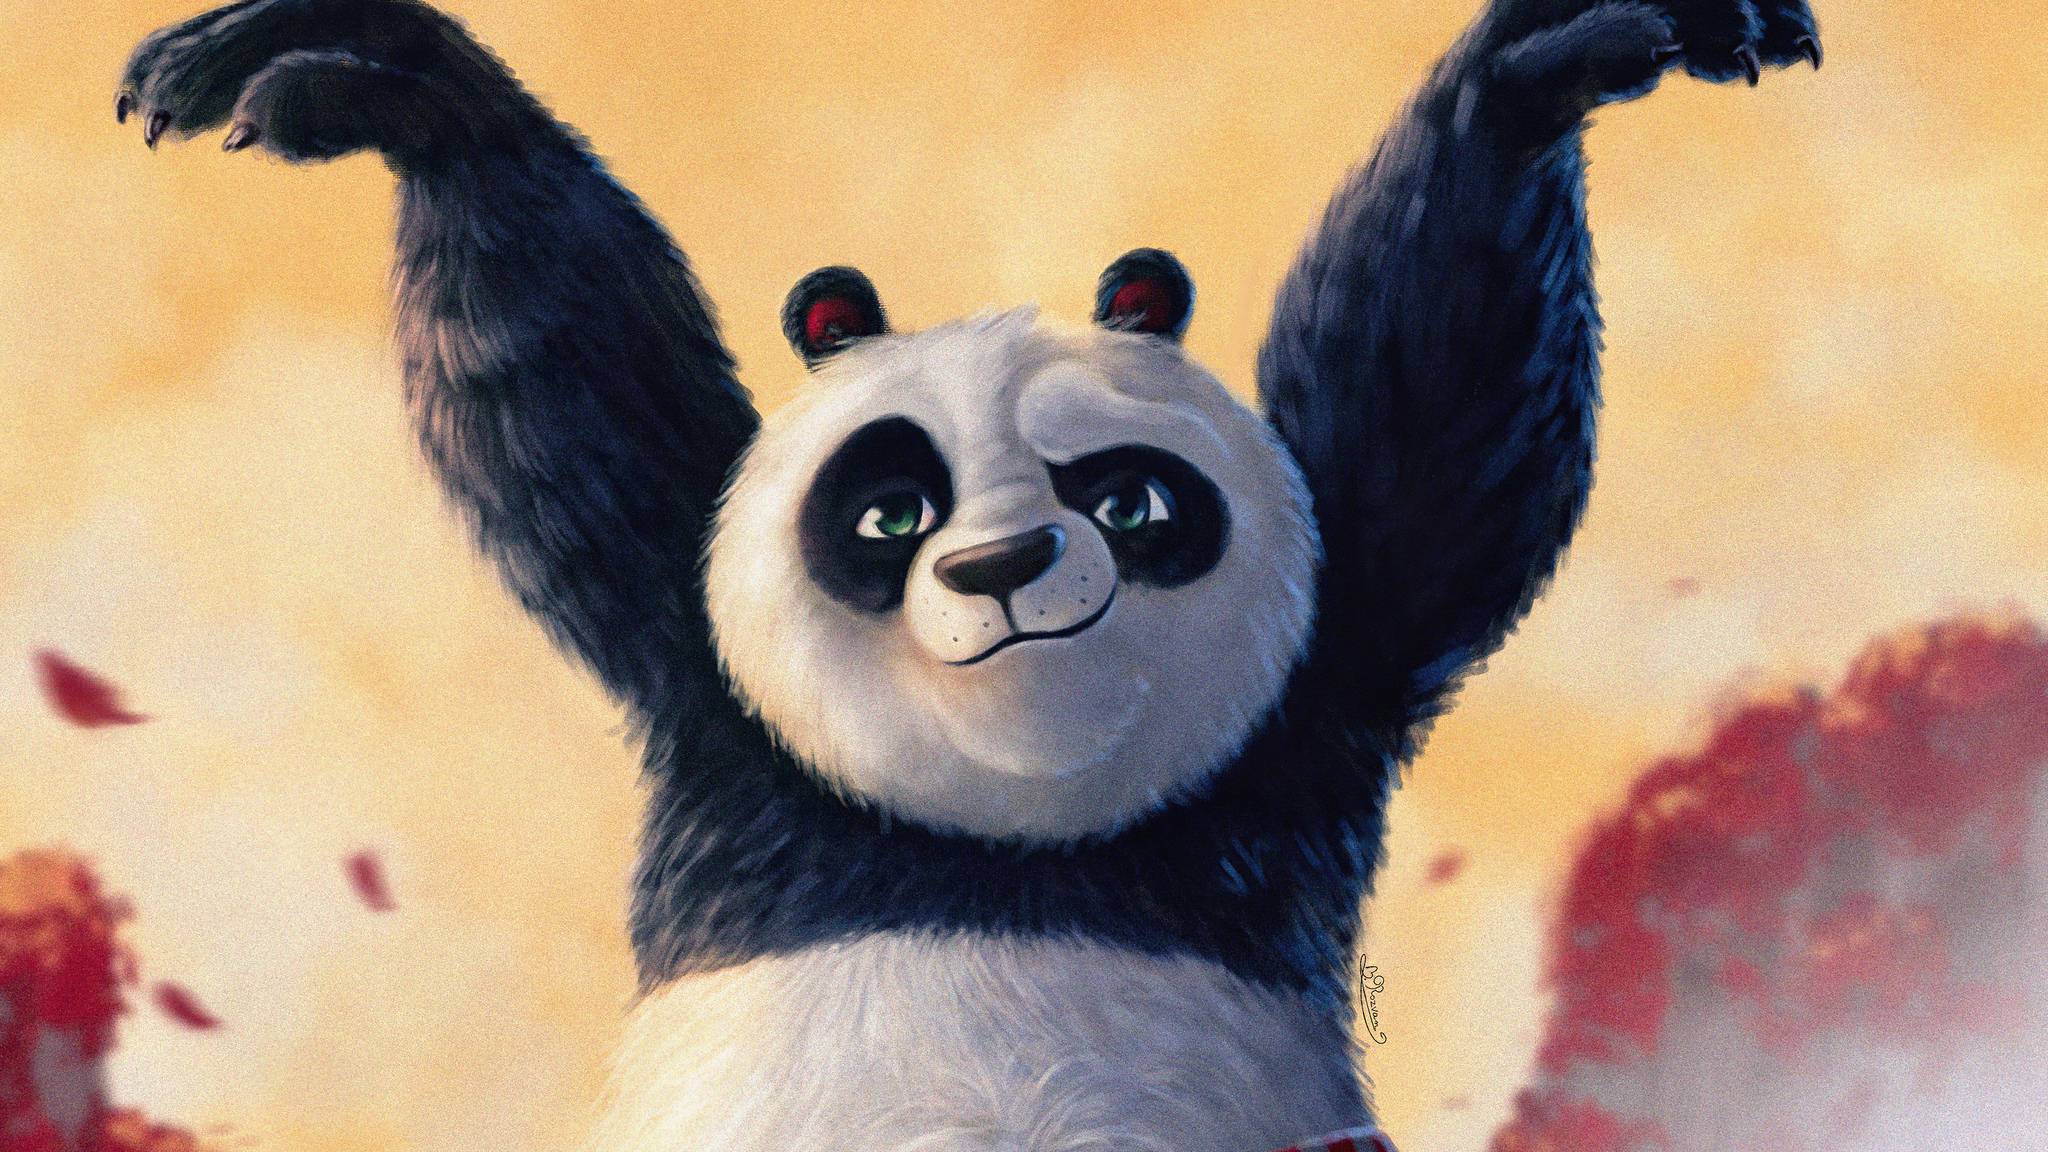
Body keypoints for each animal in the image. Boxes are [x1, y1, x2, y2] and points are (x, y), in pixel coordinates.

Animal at [118, 0, 1820, 1149]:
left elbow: (1442, 395)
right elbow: (561, 372)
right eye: (886, 513)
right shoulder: (727, 734)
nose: (1004, 565)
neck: (999, 833)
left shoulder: (1306, 725)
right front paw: (353, 77)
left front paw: (1558, 62)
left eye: (1130, 497)